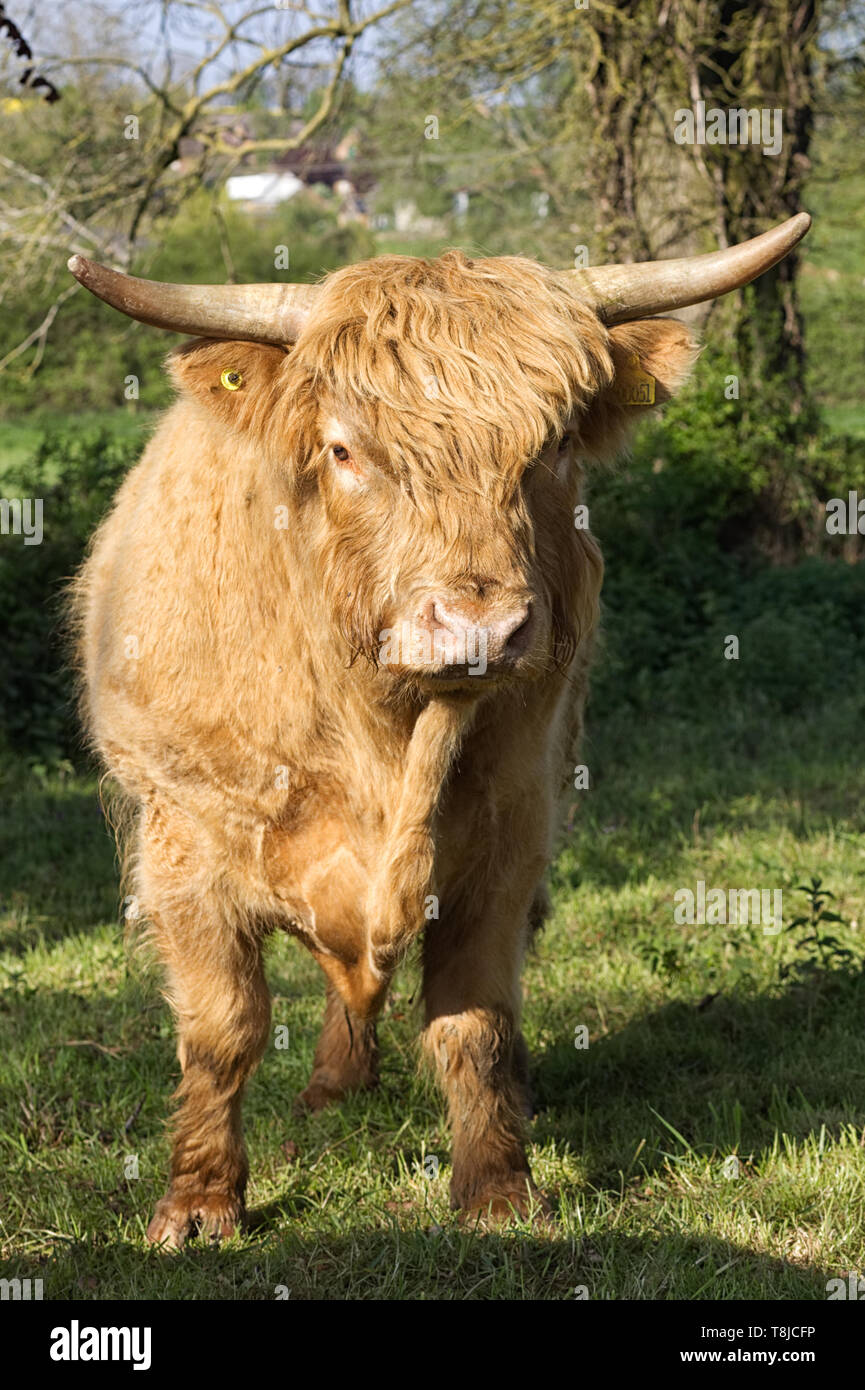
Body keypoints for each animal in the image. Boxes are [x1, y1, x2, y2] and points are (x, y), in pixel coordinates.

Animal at [67, 214, 810, 1248]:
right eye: (344, 451)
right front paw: (199, 1203)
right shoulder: (184, 842)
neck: (379, 734)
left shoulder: (508, 836)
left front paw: (496, 1189)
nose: (479, 627)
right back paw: (333, 1090)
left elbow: (475, 1022)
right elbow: (222, 1029)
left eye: (553, 444)